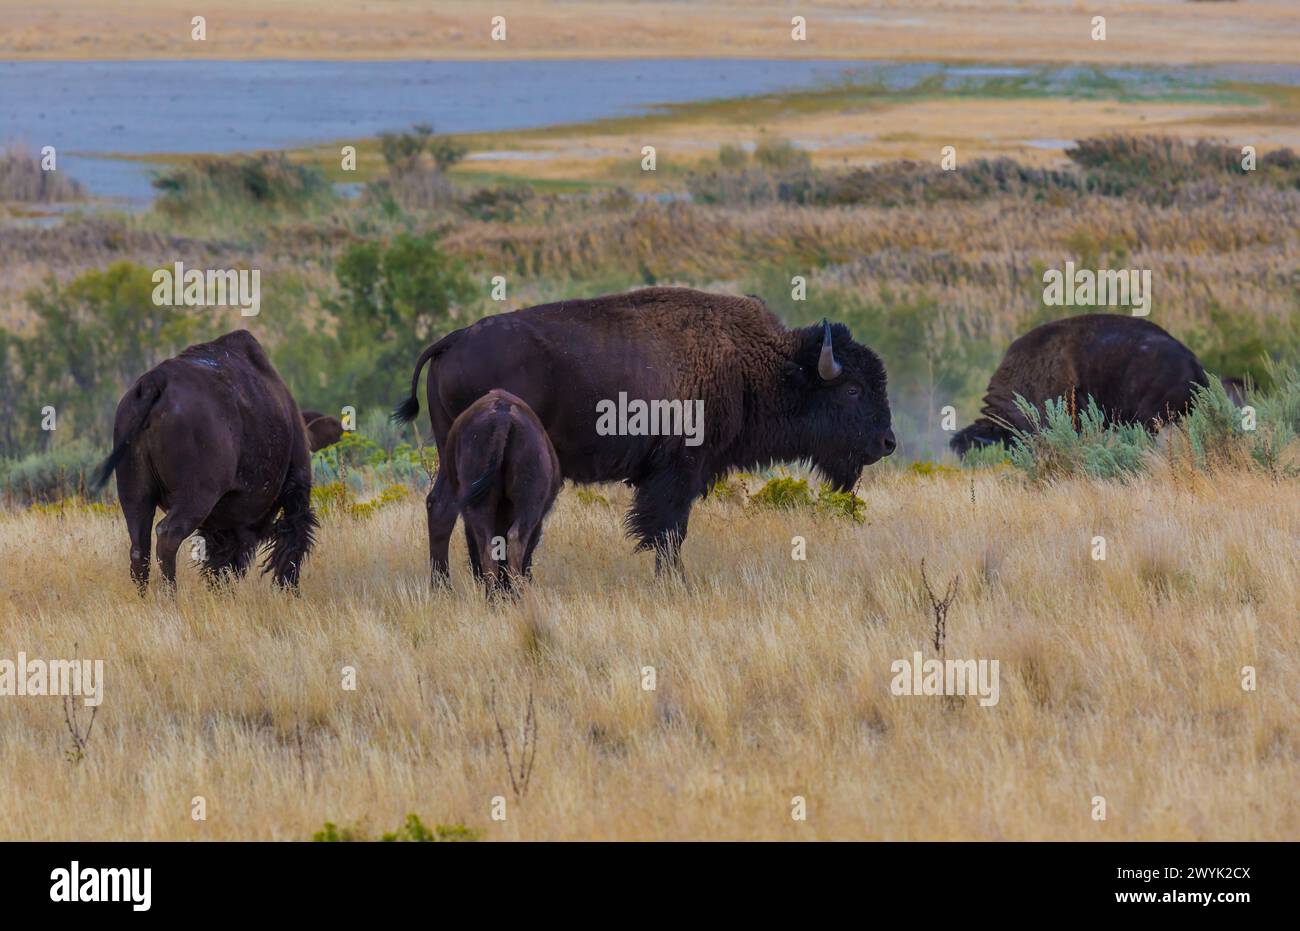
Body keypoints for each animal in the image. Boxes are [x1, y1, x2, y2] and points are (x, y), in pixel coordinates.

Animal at [91, 330, 318, 592]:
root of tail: (155, 381)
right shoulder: (296, 486)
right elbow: (292, 540)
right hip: (196, 497)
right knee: (167, 535)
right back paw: (171, 594)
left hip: (135, 495)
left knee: (140, 549)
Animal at [443, 389, 562, 594]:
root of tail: (503, 416)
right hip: (529, 504)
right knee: (515, 540)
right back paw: (519, 593)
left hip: (480, 504)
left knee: (488, 546)